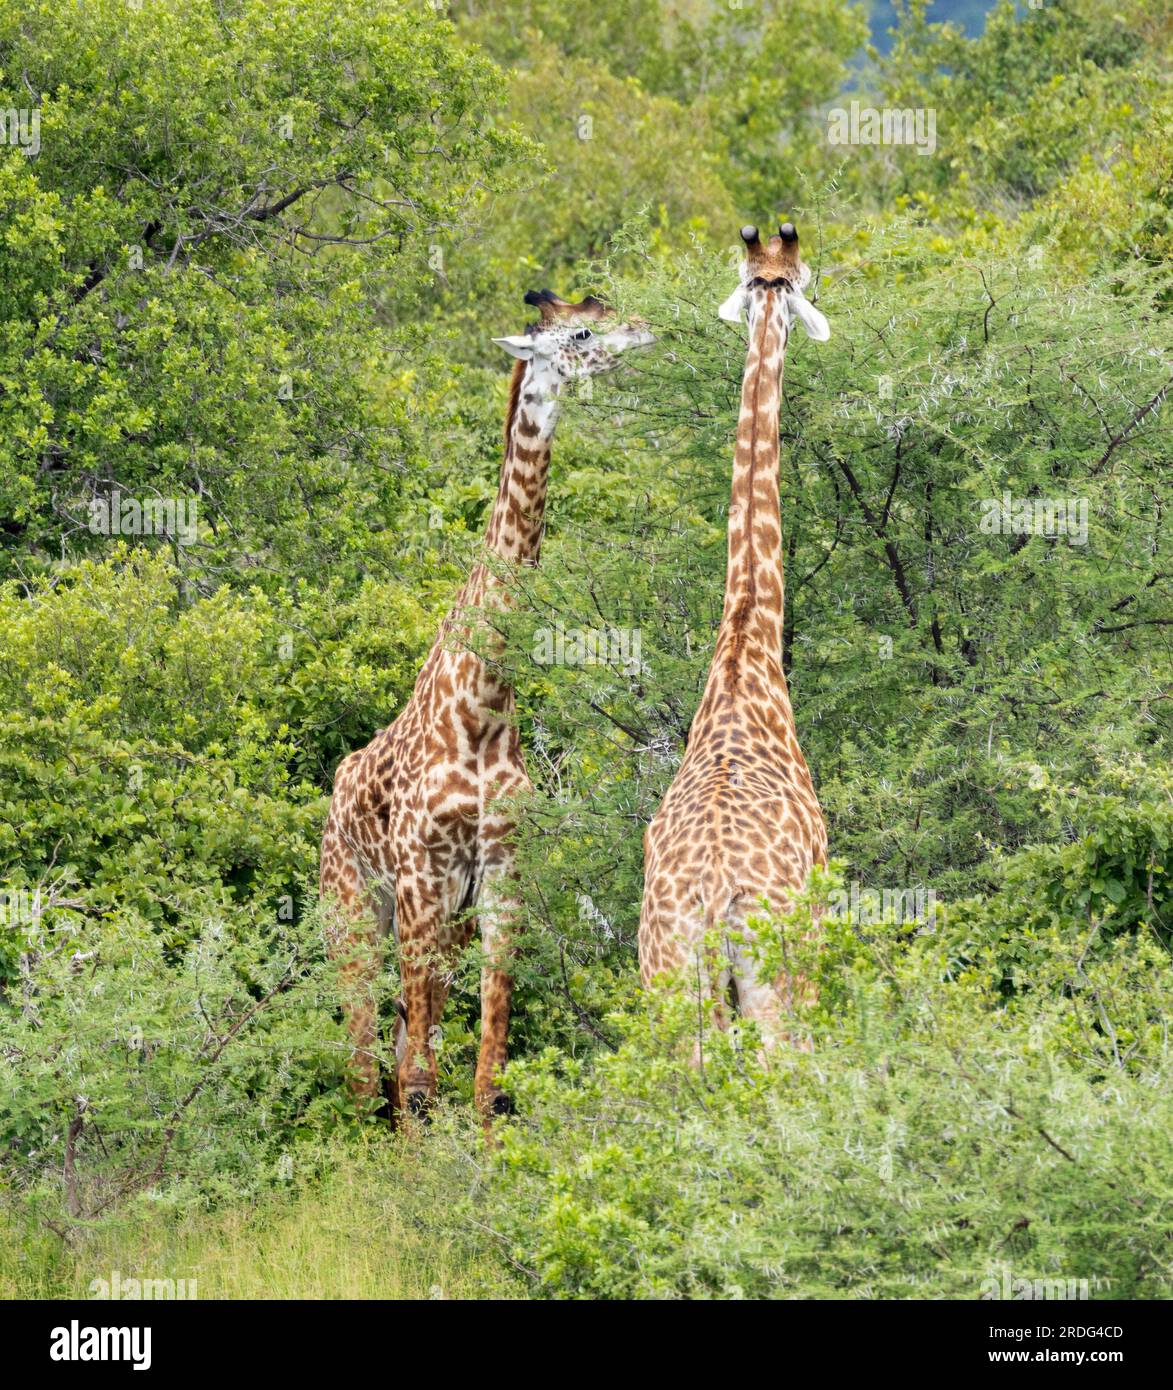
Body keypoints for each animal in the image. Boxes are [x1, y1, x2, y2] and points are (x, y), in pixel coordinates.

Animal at [320, 289, 652, 1125]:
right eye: (580, 330)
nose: (645, 333)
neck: (481, 705)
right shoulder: (419, 878)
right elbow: (416, 1076)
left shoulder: (501, 874)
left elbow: (488, 1066)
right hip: (351, 907)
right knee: (364, 1058)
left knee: (397, 1043)